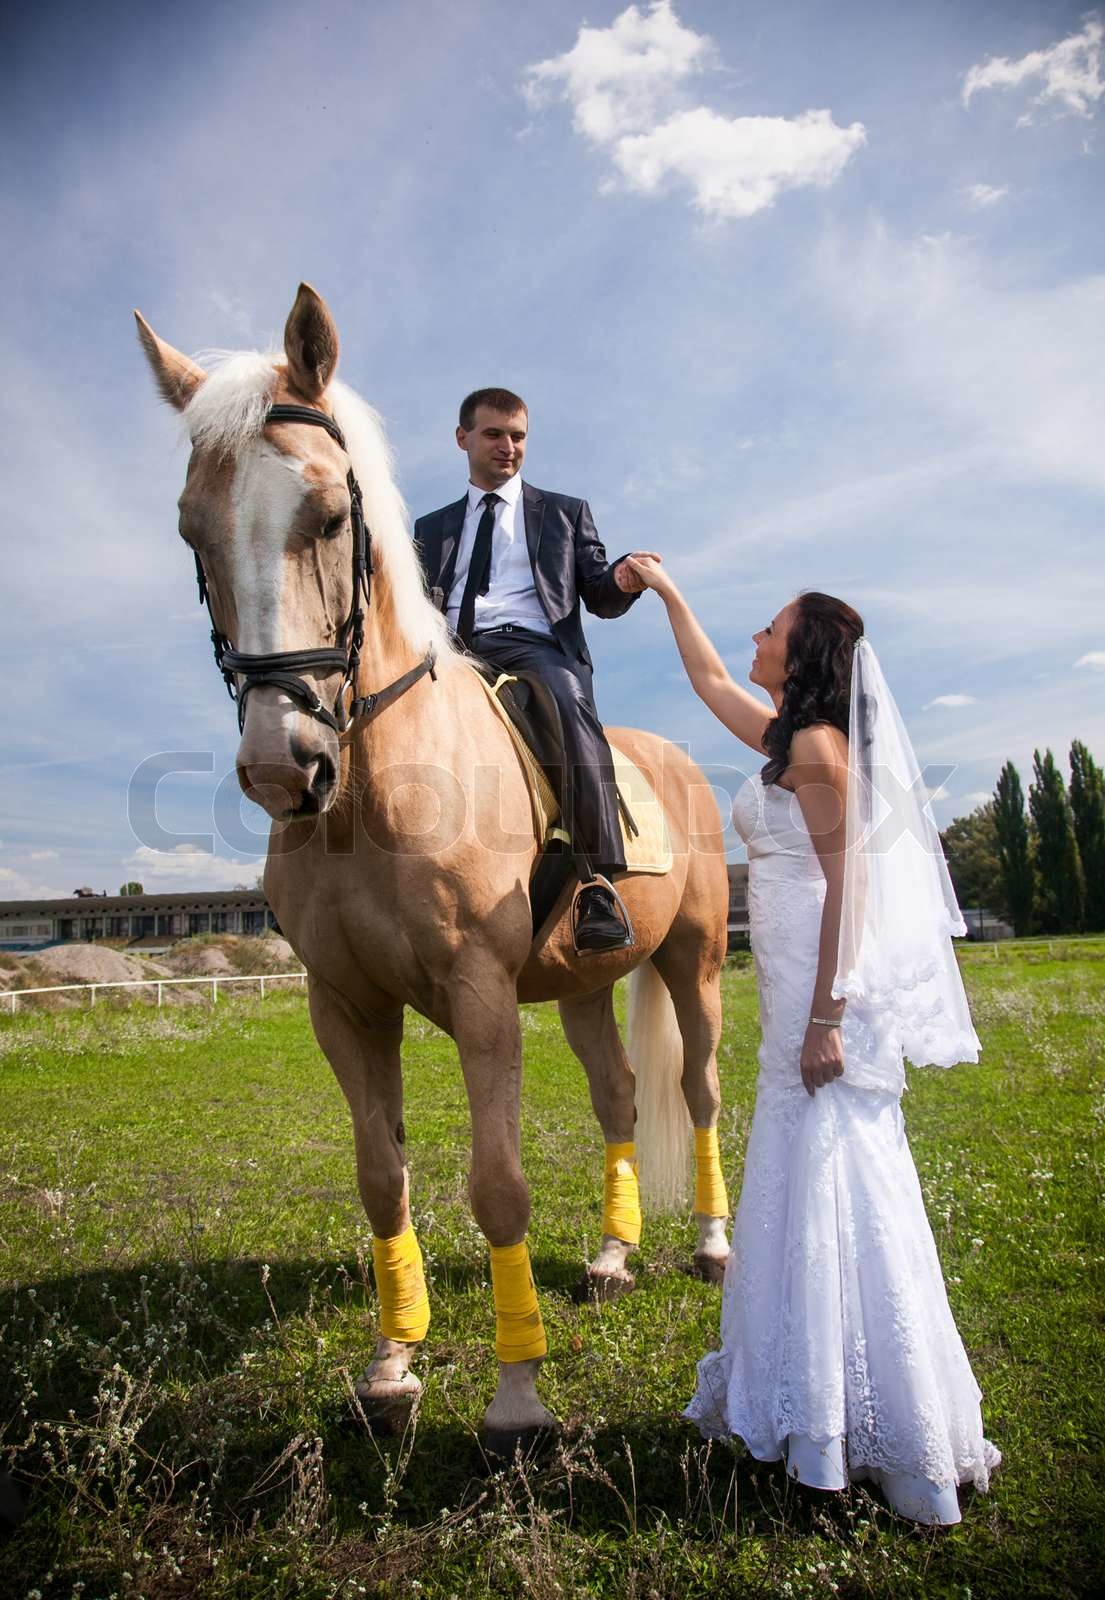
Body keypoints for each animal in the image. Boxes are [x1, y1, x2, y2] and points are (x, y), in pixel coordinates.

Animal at [135, 283, 731, 1457]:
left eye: (330, 515)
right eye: (192, 529)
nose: (282, 765)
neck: (373, 790)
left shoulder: (479, 995)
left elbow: (497, 1186)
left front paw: (516, 1396)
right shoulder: (345, 1003)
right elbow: (381, 1179)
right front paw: (392, 1365)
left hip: (692, 964)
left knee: (698, 1087)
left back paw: (711, 1245)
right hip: (585, 983)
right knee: (619, 1097)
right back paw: (611, 1255)